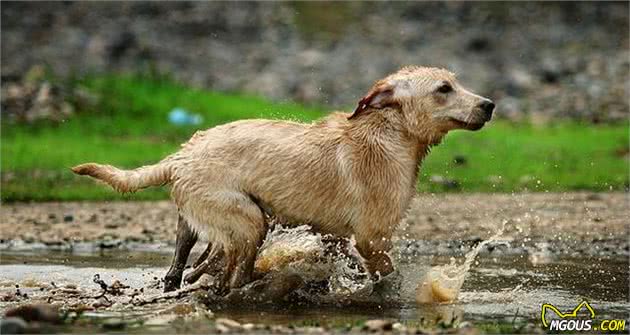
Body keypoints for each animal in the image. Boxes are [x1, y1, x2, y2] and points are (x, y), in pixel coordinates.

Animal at [71, 65, 496, 294]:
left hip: (204, 221)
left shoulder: (337, 235)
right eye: (444, 89)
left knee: (186, 266)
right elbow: (386, 277)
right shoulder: (373, 238)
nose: (489, 105)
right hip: (248, 222)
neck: (391, 131)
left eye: (455, 82)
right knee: (230, 276)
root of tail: (180, 155)